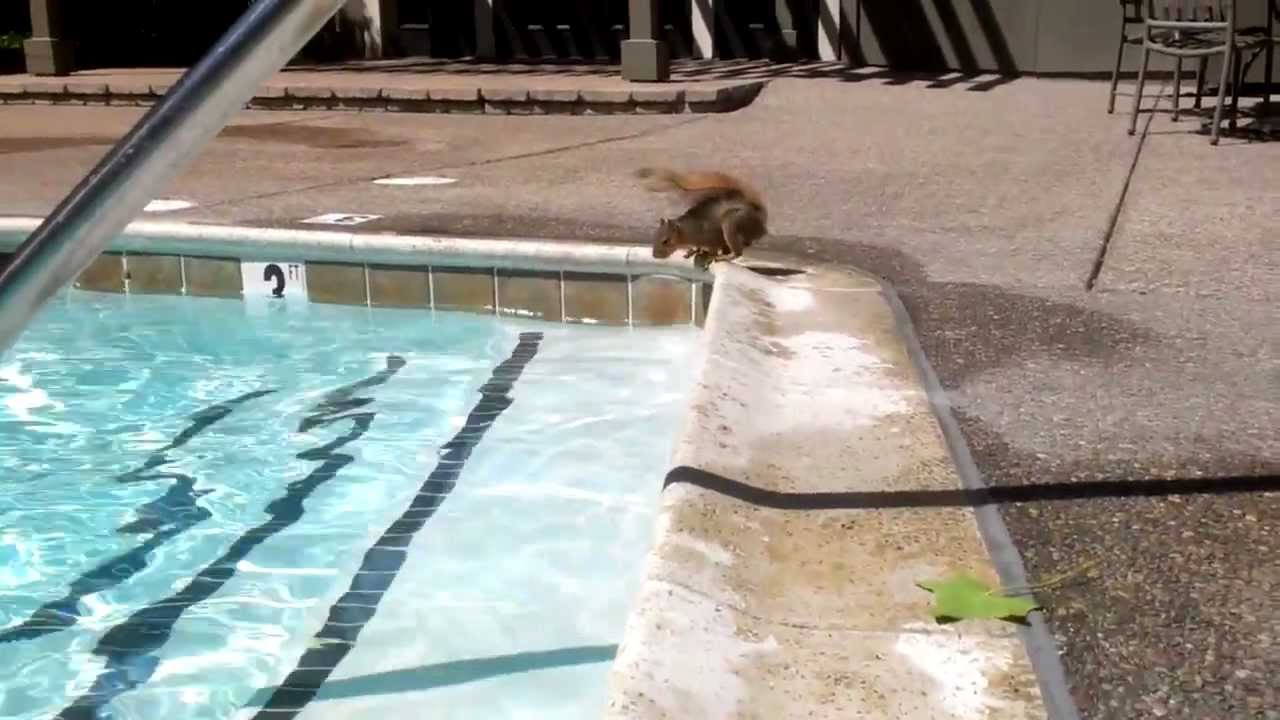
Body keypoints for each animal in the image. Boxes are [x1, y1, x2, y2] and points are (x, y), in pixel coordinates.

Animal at [635, 167, 768, 270]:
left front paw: (710, 257)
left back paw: (723, 257)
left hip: (732, 222)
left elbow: (713, 250)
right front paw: (693, 250)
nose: (655, 255)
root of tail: (761, 221)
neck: (686, 230)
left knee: (737, 252)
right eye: (654, 237)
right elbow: (697, 247)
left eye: (665, 241)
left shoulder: (711, 237)